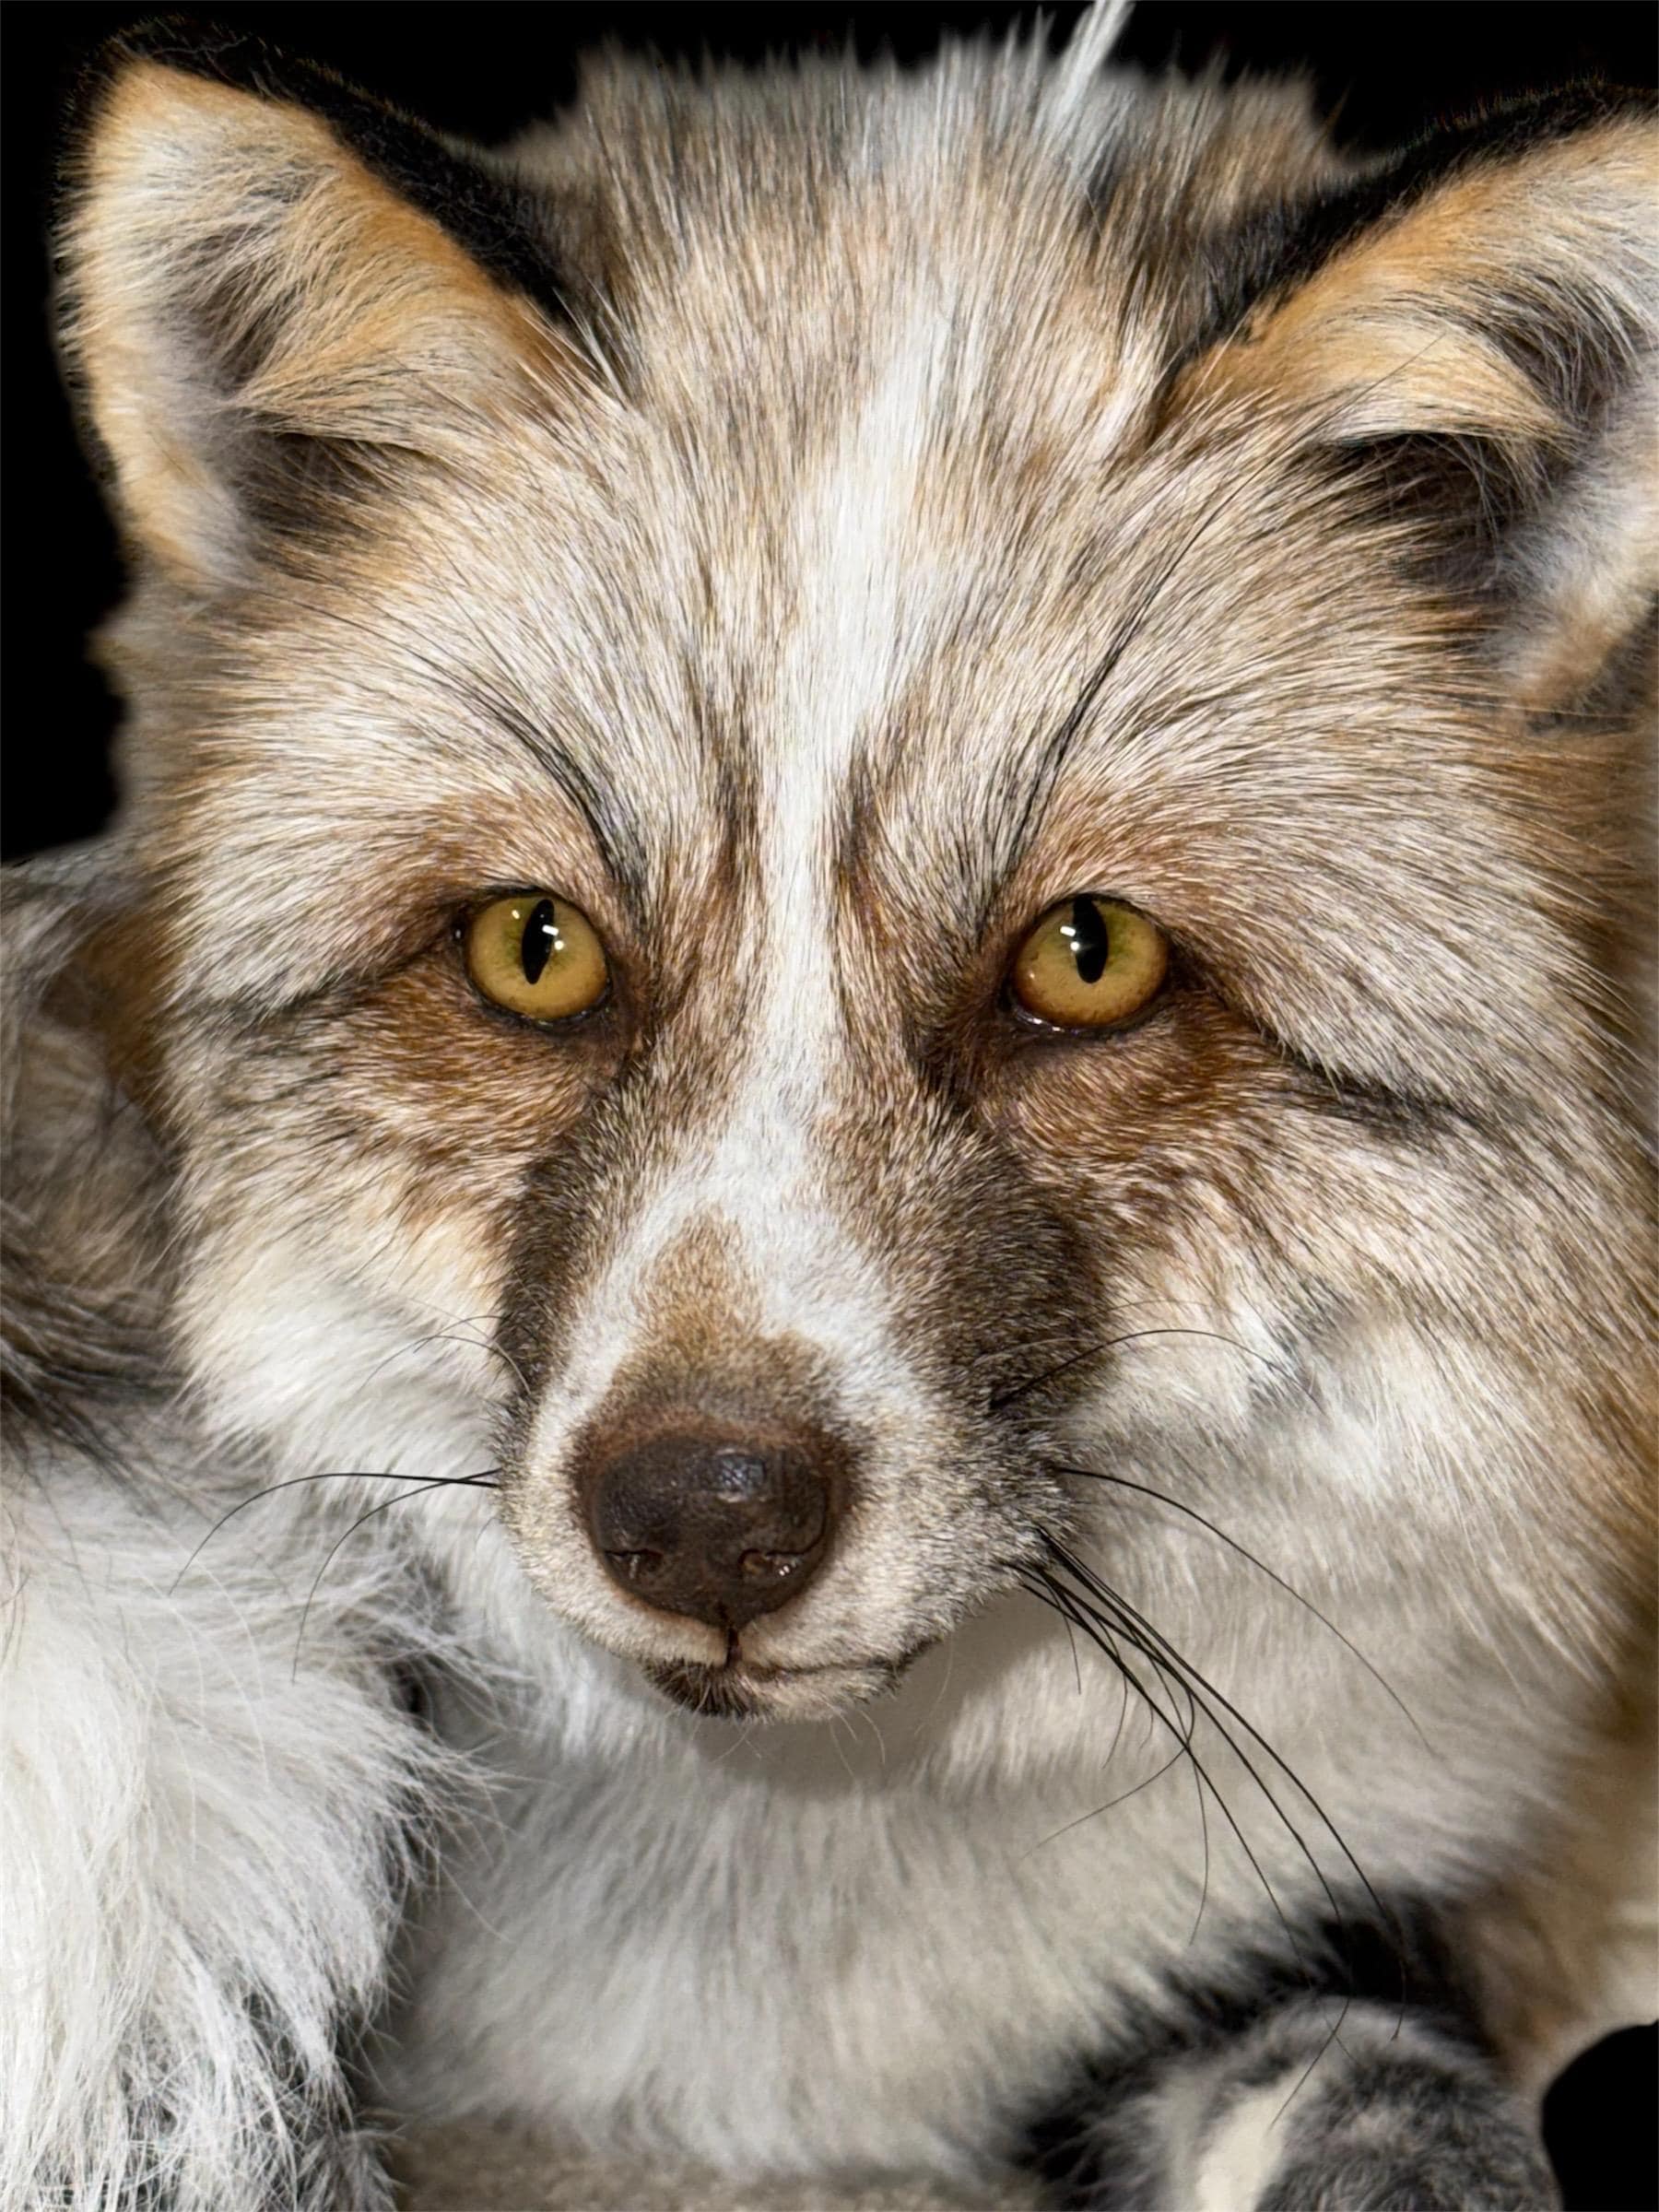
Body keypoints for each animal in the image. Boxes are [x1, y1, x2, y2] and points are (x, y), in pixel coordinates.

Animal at [2, 6, 1655, 2208]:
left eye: (1088, 958)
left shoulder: (1333, 1920)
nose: (704, 1518)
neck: (772, 2068)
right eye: (535, 949)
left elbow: (1394, 2108)